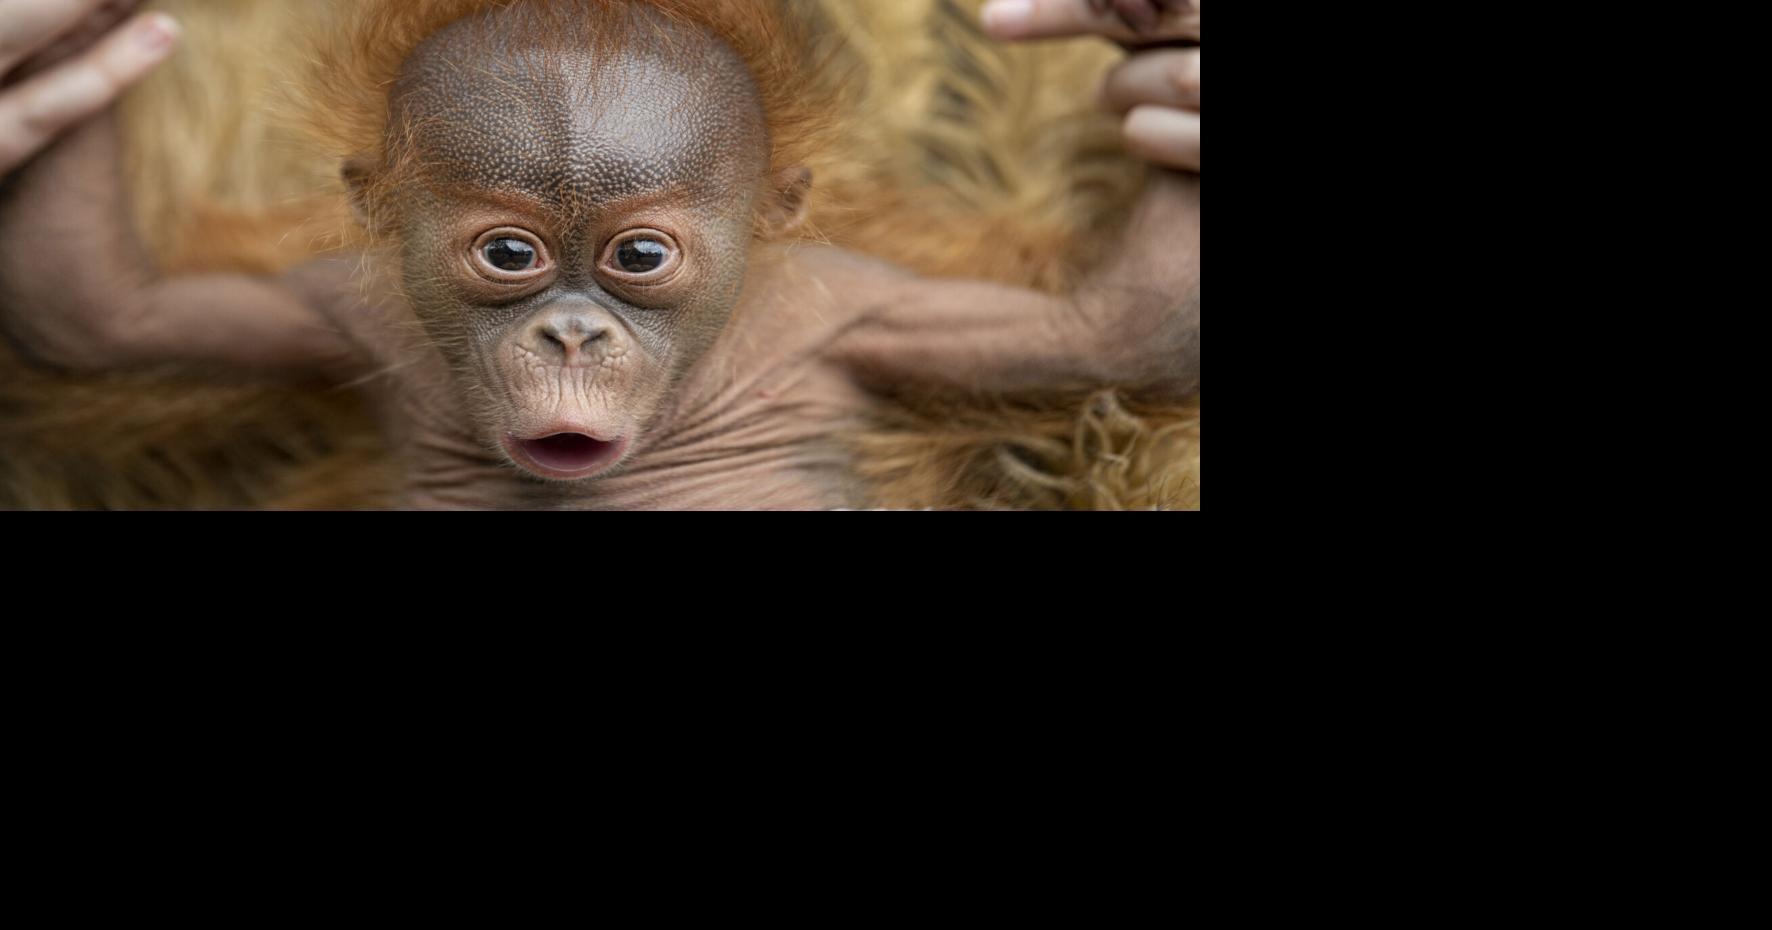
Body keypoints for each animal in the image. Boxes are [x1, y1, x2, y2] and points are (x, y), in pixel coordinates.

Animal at [0, 0, 1199, 510]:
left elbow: (1119, 329)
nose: (570, 332)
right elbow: (99, 313)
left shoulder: (866, 312)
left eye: (640, 256)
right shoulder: (331, 309)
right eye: (508, 251)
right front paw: (68, 45)